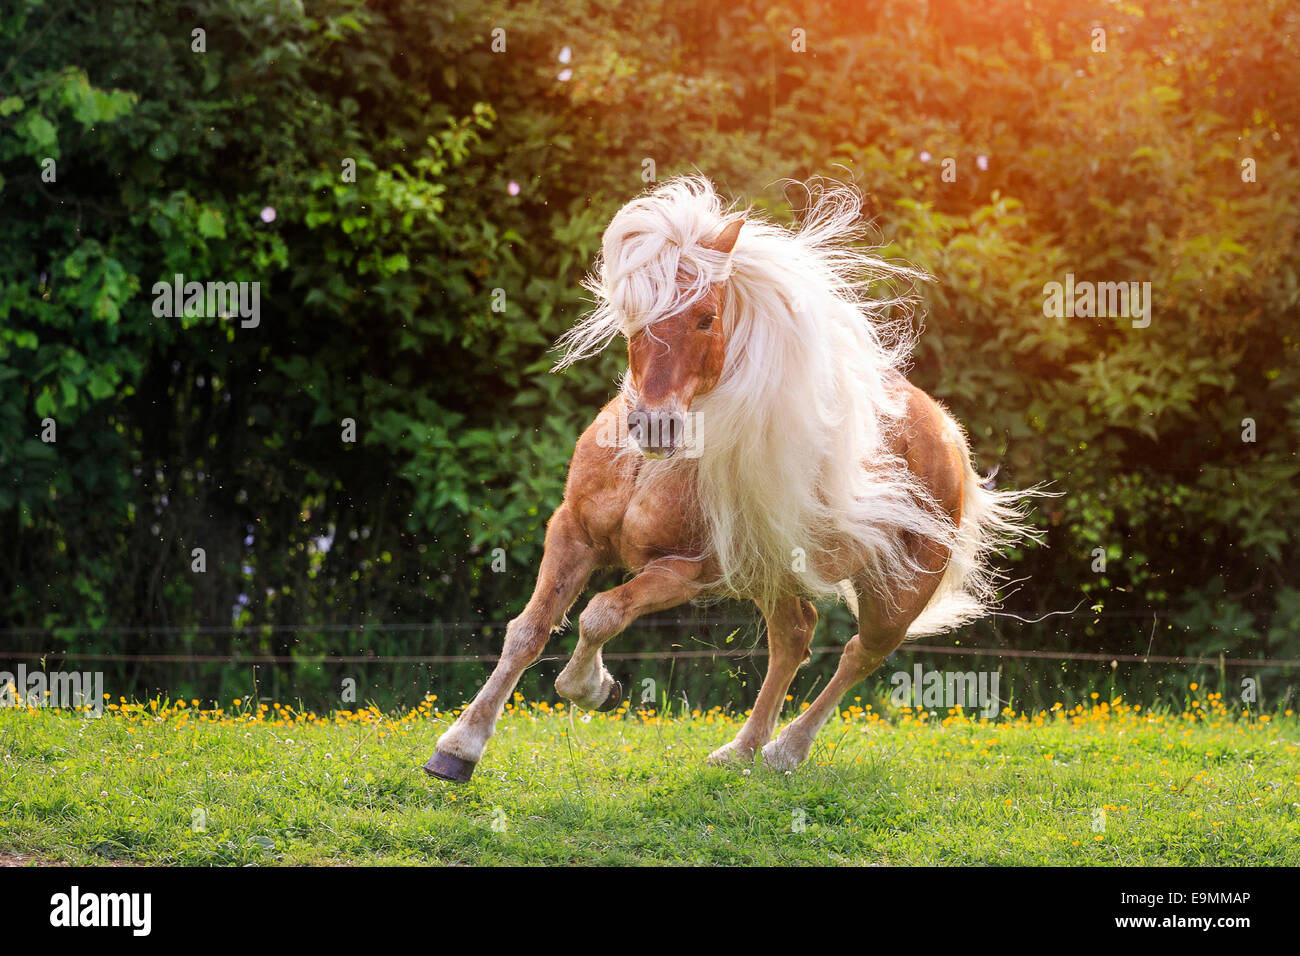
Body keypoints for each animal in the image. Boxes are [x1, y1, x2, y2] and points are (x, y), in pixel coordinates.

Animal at [424, 176, 1034, 782]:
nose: (655, 425)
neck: (648, 472)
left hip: (896, 591)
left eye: (705, 318)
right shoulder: (572, 533)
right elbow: (526, 631)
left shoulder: (686, 572)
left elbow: (600, 615)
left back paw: (786, 751)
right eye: (636, 312)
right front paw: (458, 748)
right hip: (774, 575)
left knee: (862, 653)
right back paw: (740, 751)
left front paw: (596, 688)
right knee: (794, 636)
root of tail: (948, 434)